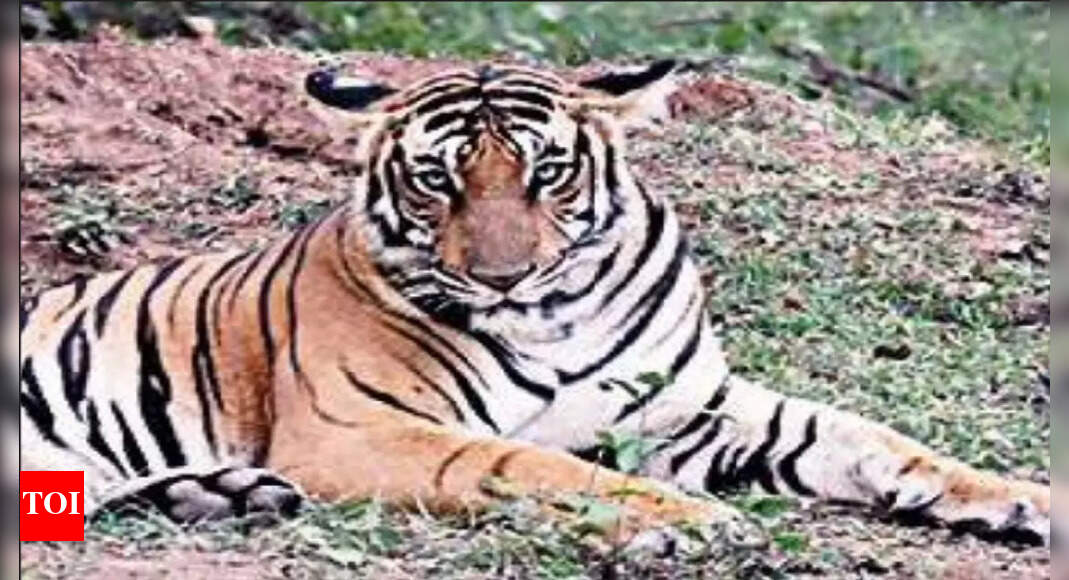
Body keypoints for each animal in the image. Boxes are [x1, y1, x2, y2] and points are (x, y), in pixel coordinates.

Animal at [19, 59, 1050, 548]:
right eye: (437, 180)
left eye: (546, 173)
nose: (502, 276)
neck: (556, 315)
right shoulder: (357, 431)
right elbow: (527, 464)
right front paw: (691, 526)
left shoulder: (696, 411)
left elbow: (878, 440)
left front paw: (1029, 501)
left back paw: (221, 495)